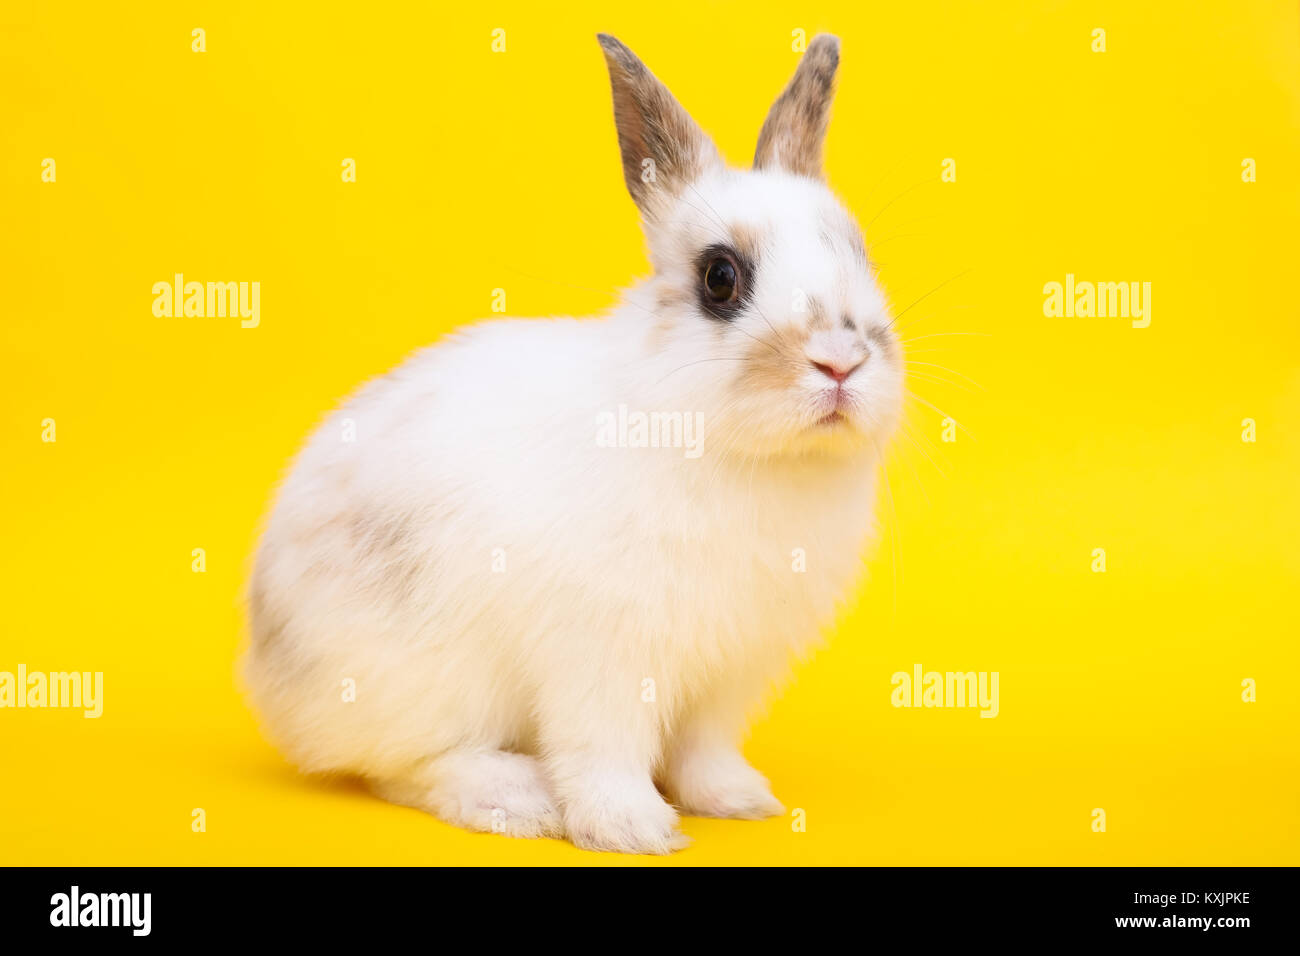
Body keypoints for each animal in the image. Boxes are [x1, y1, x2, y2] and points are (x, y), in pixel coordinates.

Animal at [244, 32, 903, 854]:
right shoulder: (604, 660)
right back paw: (515, 798)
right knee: (400, 767)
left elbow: (704, 749)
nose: (842, 362)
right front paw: (634, 829)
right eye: (721, 278)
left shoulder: (729, 674)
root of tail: (266, 671)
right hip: (427, 681)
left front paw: (738, 800)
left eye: (861, 255)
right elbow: (603, 750)